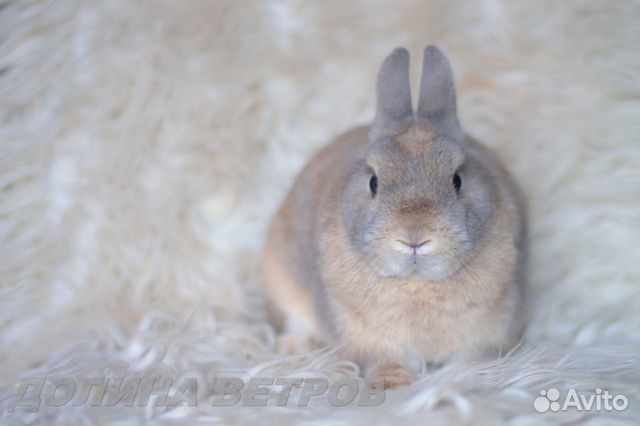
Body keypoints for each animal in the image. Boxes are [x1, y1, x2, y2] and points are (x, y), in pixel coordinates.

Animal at [261, 46, 527, 389]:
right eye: (373, 182)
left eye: (457, 180)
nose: (414, 237)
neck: (417, 285)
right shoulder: (363, 334)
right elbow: (384, 359)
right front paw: (392, 385)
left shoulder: (491, 329)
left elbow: (472, 359)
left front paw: (467, 380)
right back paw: (295, 347)